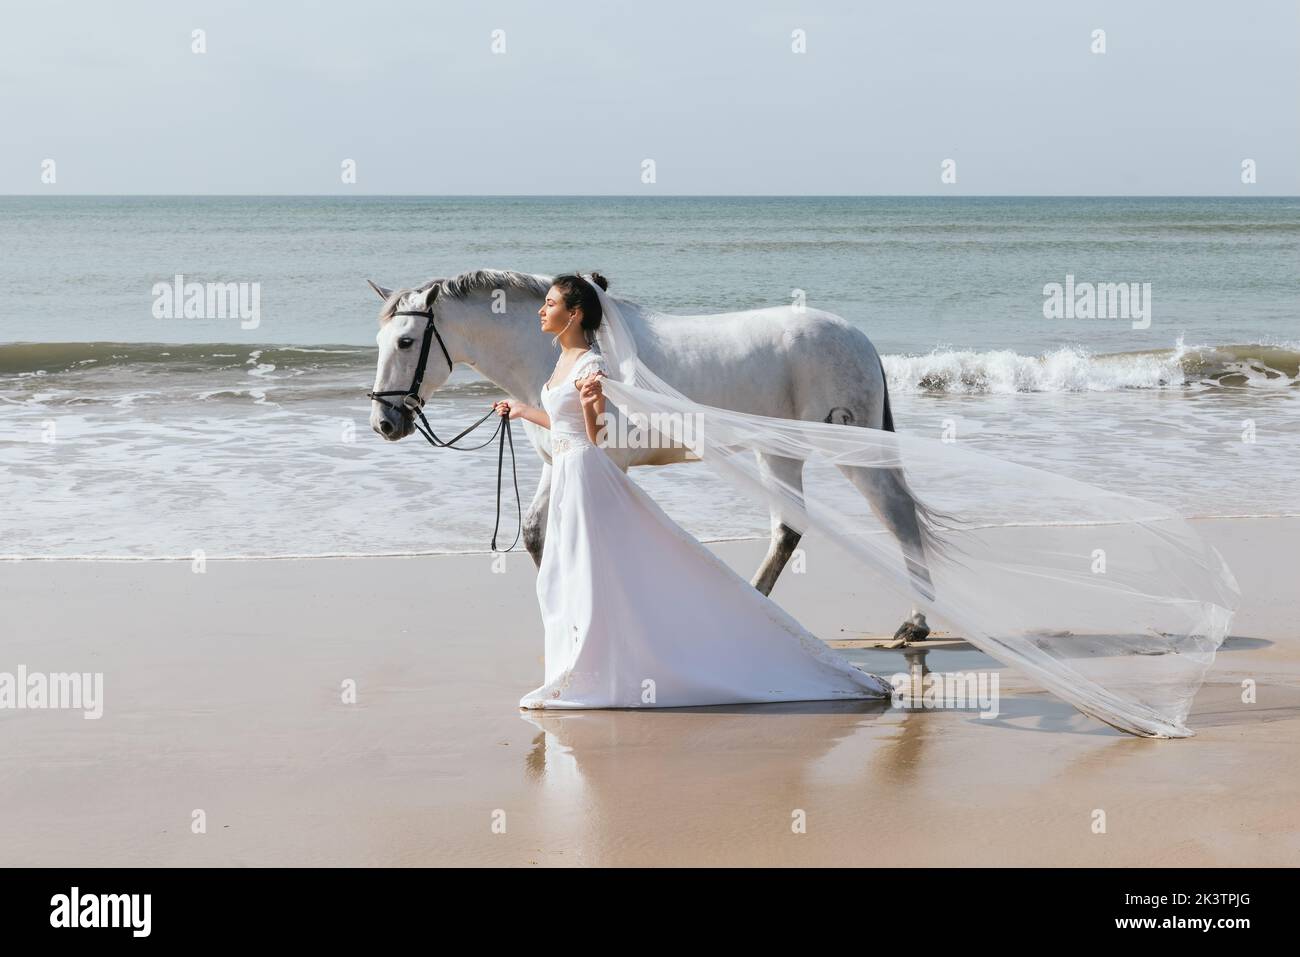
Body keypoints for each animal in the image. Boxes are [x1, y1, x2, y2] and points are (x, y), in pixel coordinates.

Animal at [367, 268, 932, 642]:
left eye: (405, 341)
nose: (384, 422)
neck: (553, 354)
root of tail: (858, 338)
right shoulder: (558, 460)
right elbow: (536, 533)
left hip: (851, 449)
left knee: (900, 516)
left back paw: (915, 623)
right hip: (778, 451)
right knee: (788, 530)